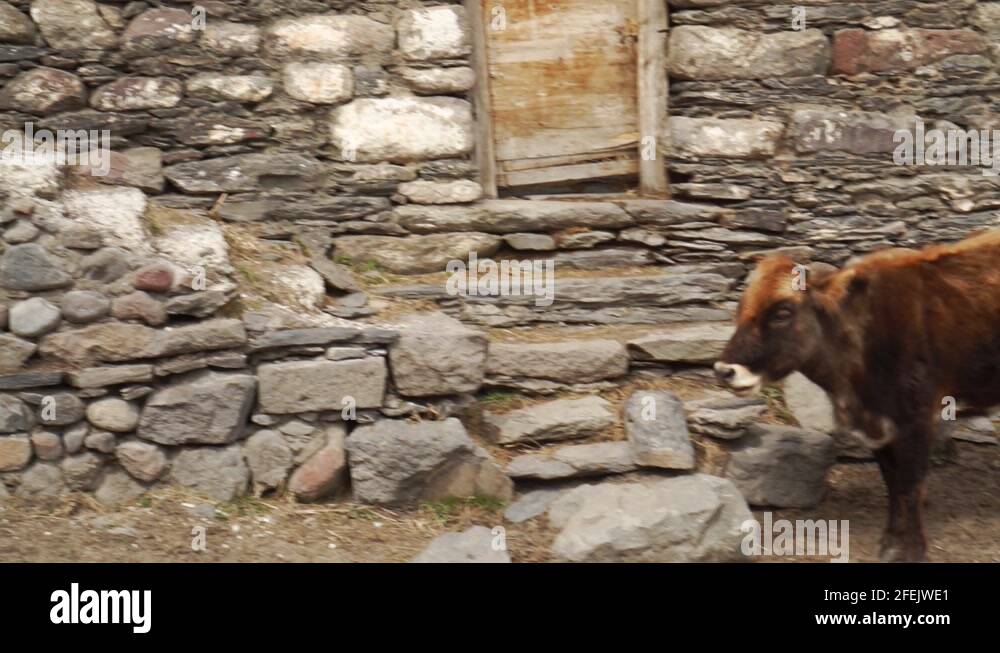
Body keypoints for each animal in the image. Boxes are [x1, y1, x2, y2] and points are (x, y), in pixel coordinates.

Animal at [713, 230, 1000, 561]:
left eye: (782, 312)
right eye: (740, 308)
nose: (724, 370)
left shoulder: (917, 420)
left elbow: (911, 485)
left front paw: (911, 550)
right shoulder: (880, 426)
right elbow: (893, 483)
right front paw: (890, 543)